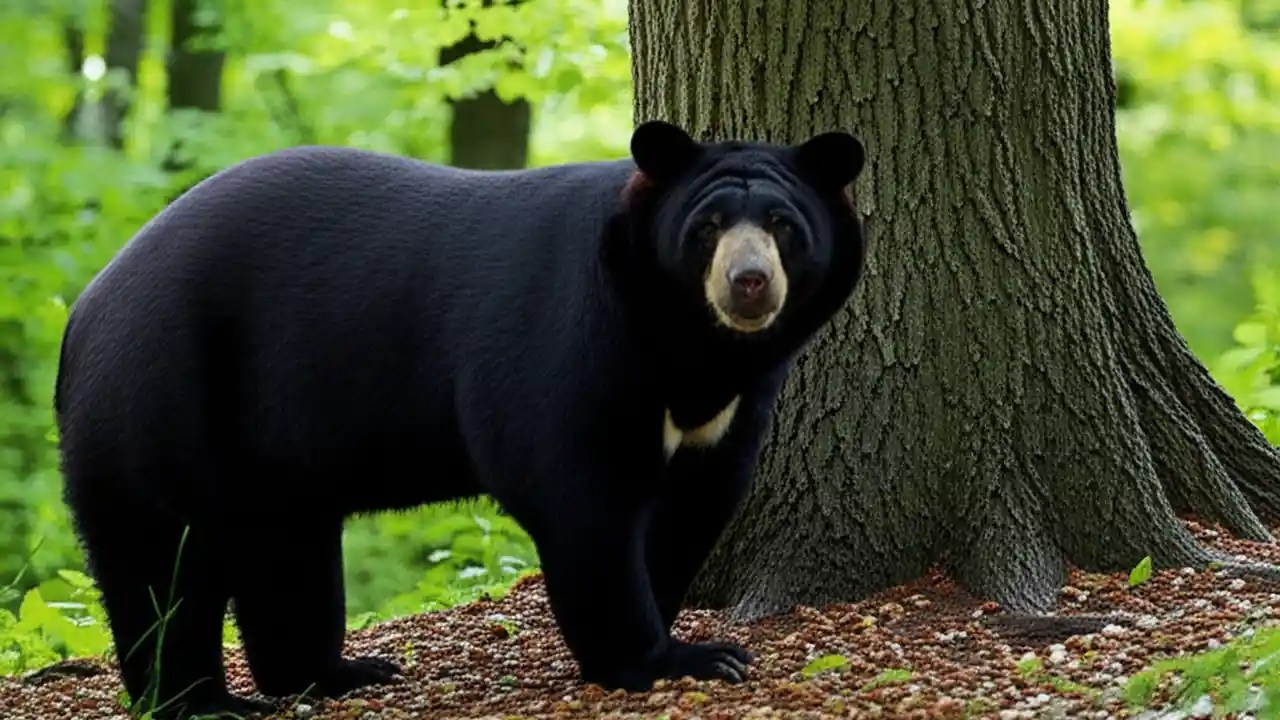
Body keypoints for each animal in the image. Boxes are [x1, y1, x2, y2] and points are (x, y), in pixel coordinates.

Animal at [53, 119, 867, 719]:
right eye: (707, 227)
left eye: (783, 224)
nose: (749, 282)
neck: (688, 342)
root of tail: (87, 305)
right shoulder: (573, 334)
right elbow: (579, 495)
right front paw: (670, 657)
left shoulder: (732, 401)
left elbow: (697, 502)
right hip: (160, 395)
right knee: (163, 562)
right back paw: (199, 700)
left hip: (265, 451)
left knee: (285, 551)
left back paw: (338, 672)